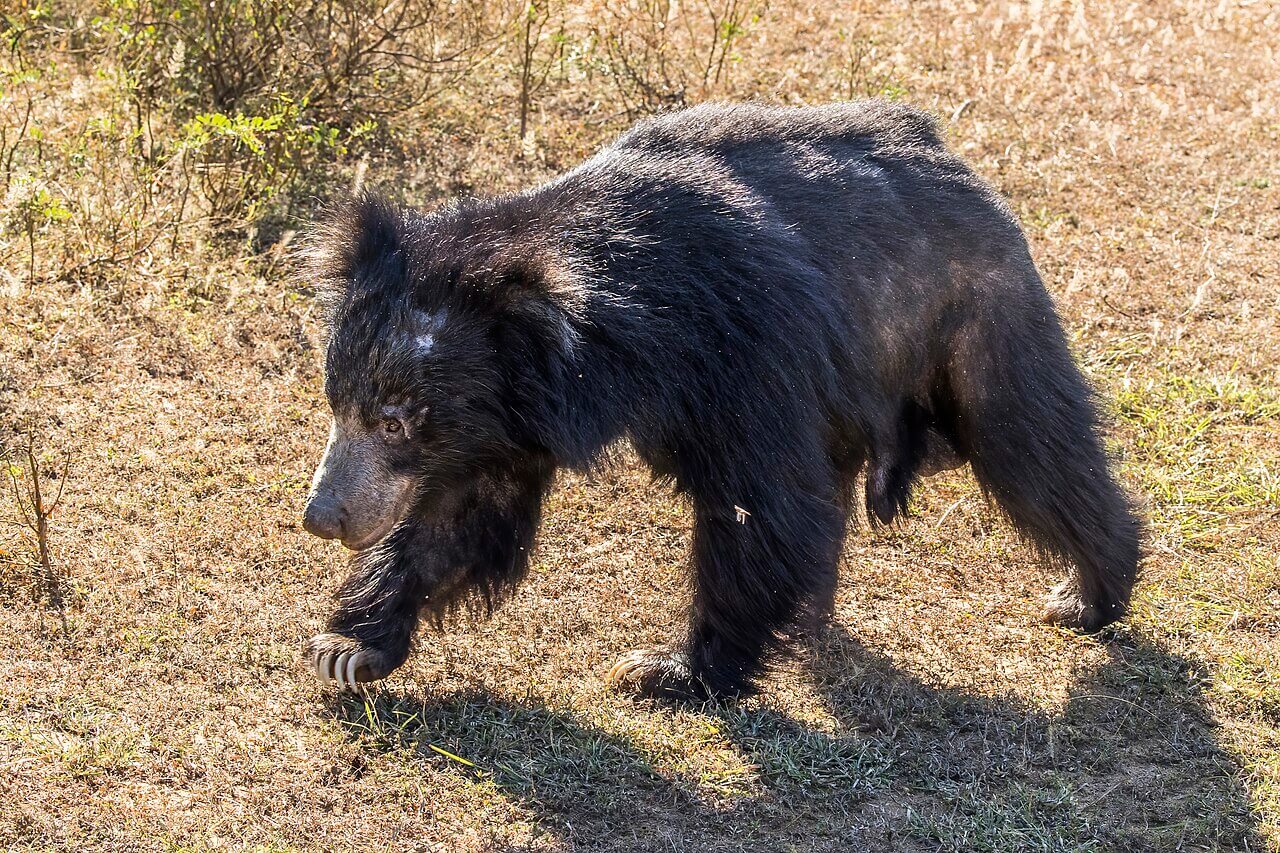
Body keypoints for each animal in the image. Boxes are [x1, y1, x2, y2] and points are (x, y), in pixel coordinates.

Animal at [299, 100, 1141, 700]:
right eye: (339, 403)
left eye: (395, 421)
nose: (323, 517)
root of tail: (953, 157)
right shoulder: (505, 417)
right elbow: (462, 515)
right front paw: (348, 647)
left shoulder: (747, 346)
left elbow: (761, 506)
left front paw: (666, 670)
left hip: (978, 316)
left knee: (1031, 444)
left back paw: (1086, 594)